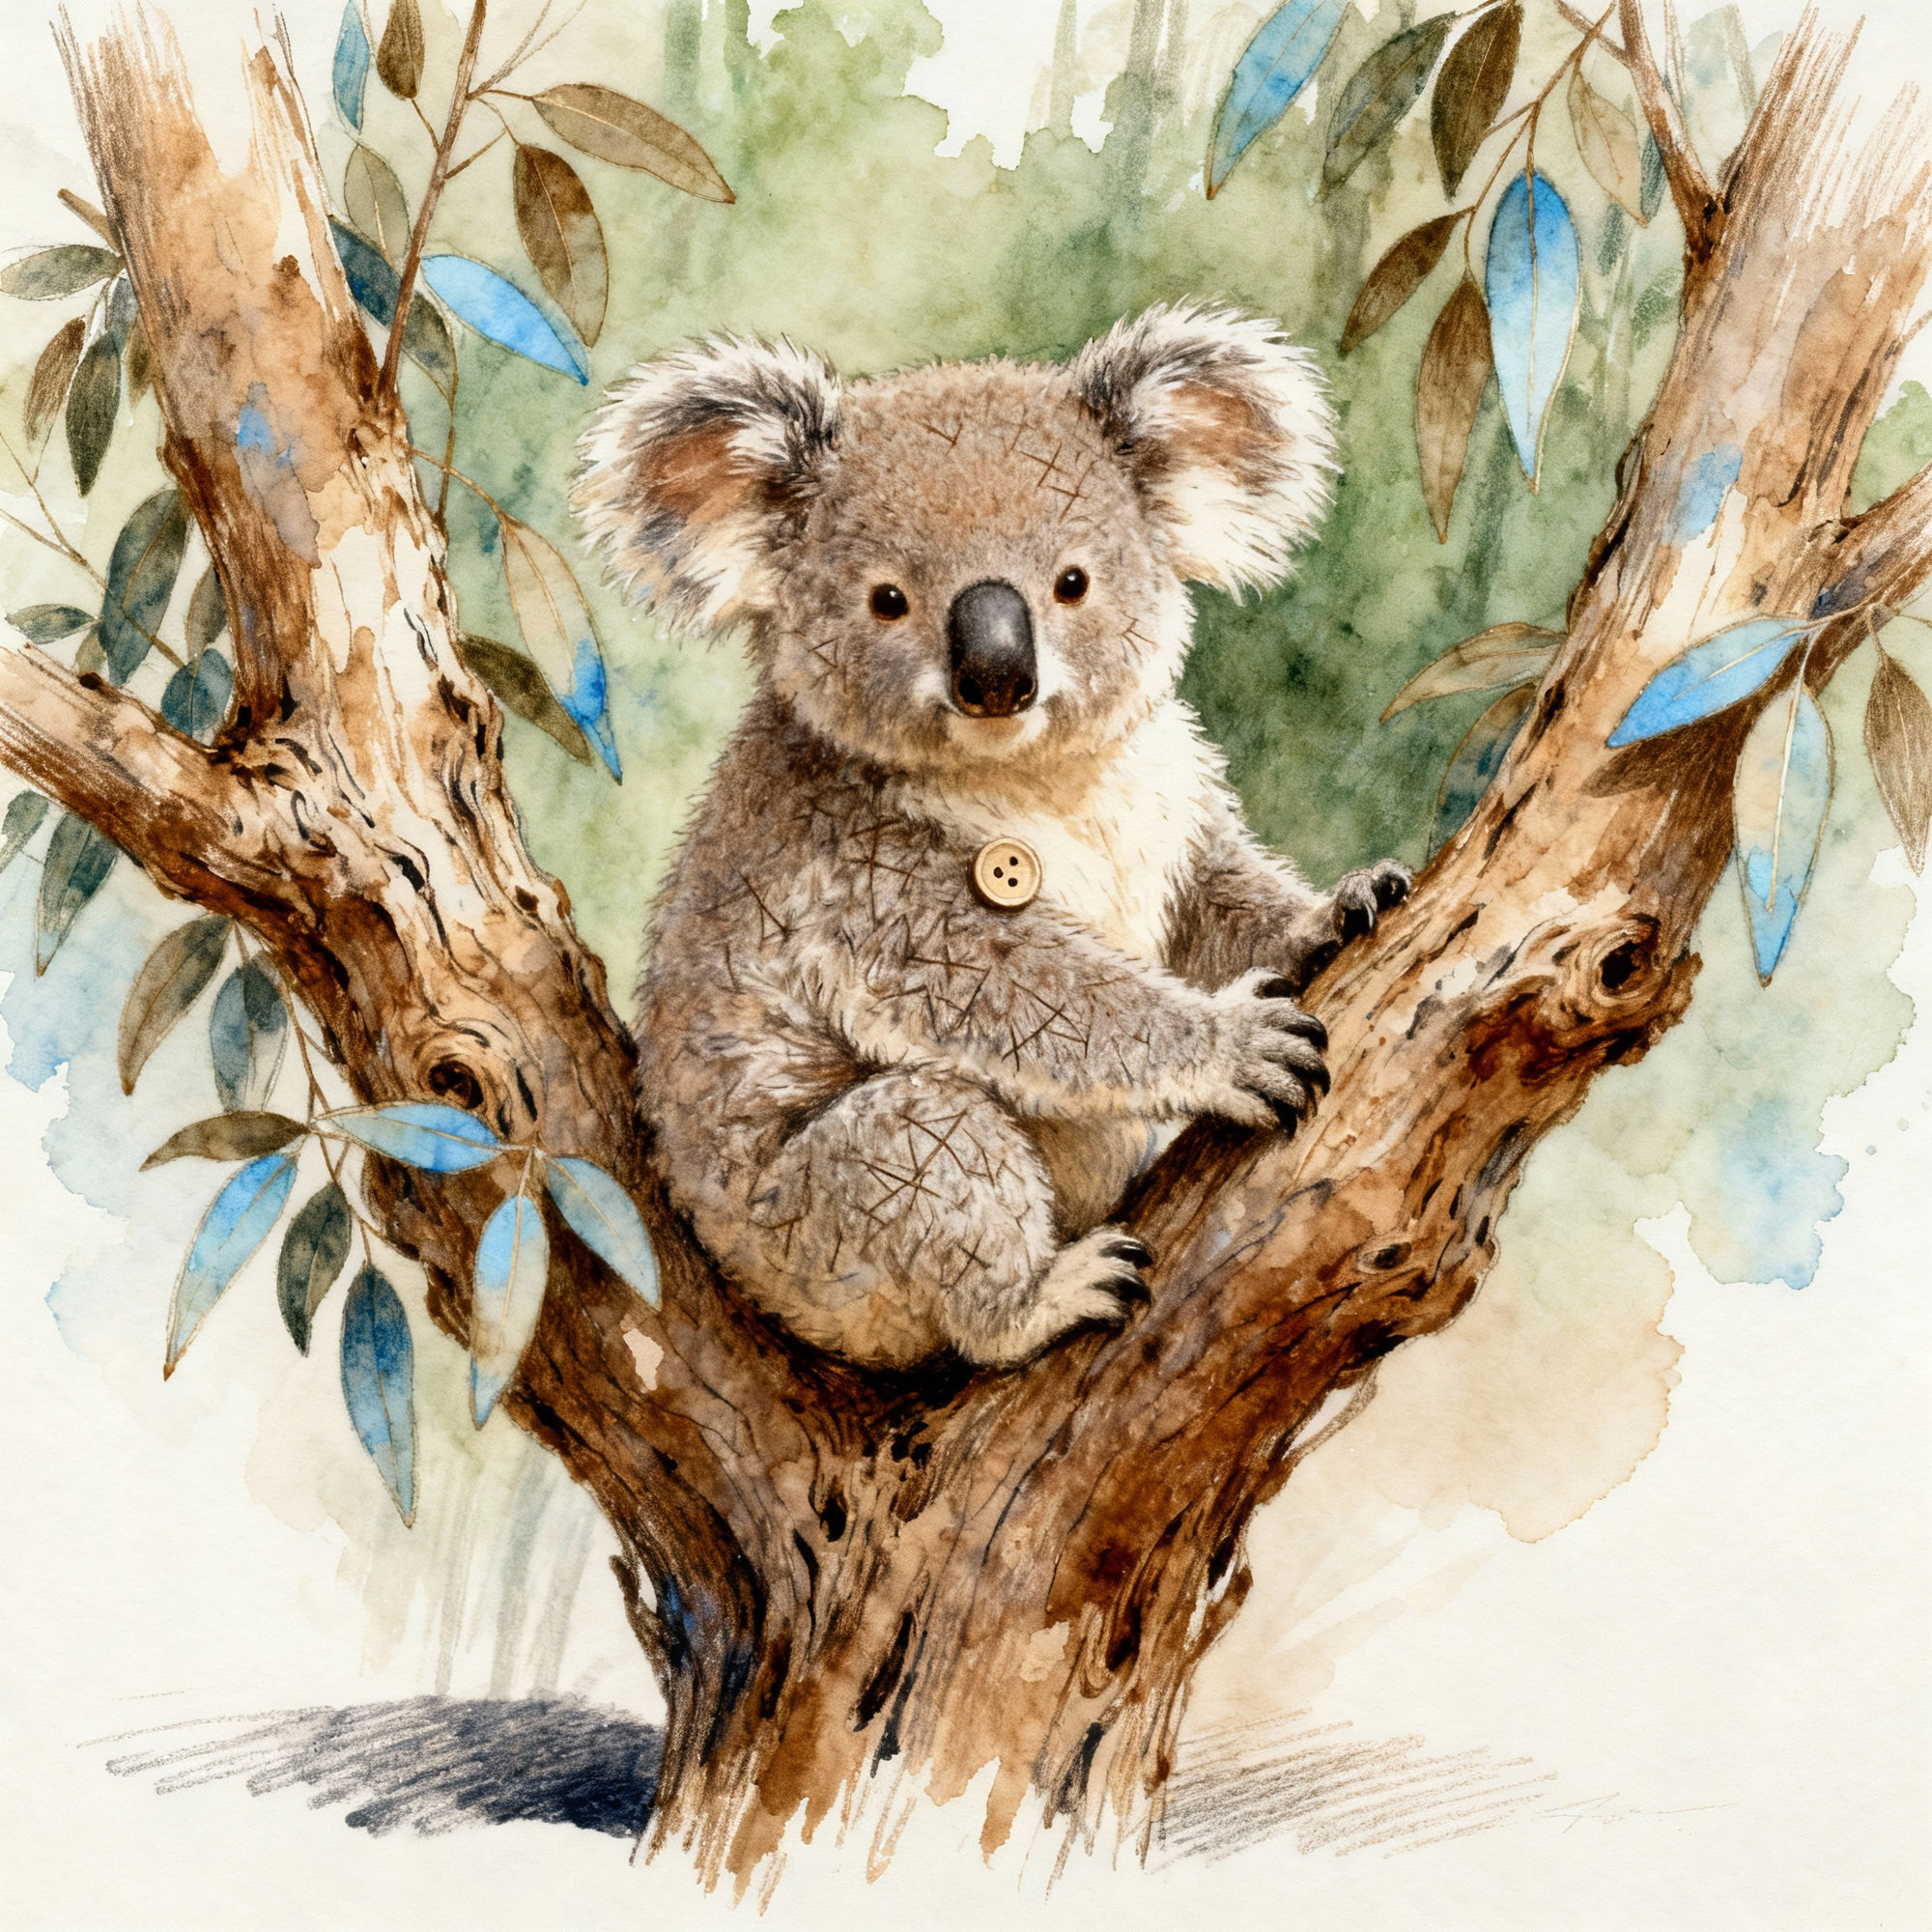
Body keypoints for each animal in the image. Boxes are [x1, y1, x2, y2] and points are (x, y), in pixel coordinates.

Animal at [574, 305, 1410, 1370]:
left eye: (1072, 583)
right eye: (887, 600)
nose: (996, 674)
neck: (1032, 778)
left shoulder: (1170, 793)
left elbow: (1214, 906)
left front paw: (1339, 909)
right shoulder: (857, 875)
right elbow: (1020, 992)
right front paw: (1238, 1048)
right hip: (819, 1227)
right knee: (936, 1143)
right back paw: (1046, 1299)